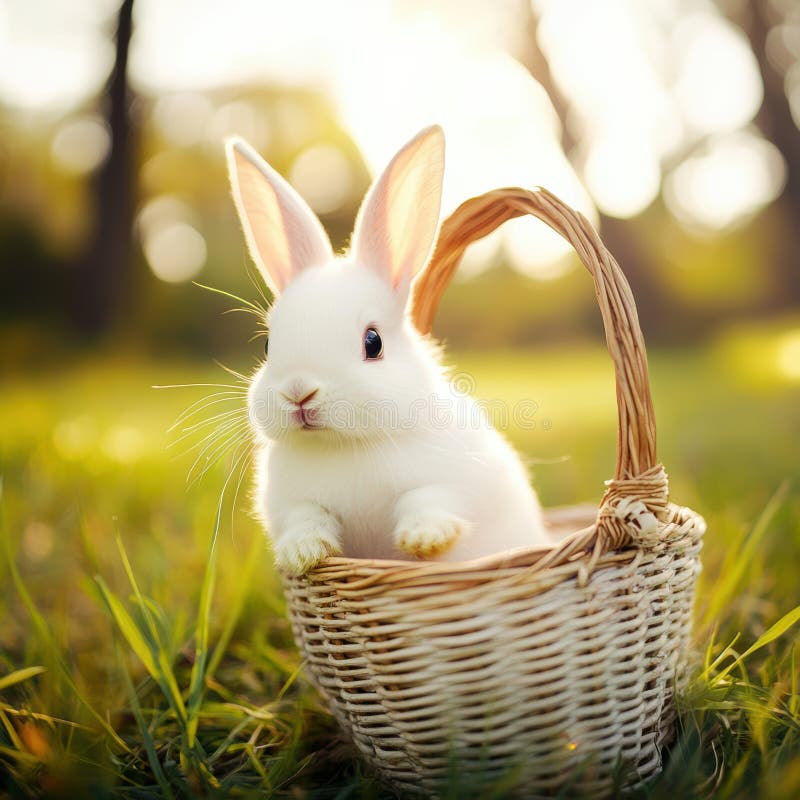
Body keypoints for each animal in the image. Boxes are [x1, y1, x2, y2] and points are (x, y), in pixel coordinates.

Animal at [225, 125, 549, 575]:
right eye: (269, 344)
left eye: (373, 342)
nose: (299, 393)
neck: (345, 445)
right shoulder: (294, 503)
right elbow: (307, 518)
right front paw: (302, 554)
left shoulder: (451, 480)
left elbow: (428, 499)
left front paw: (424, 539)